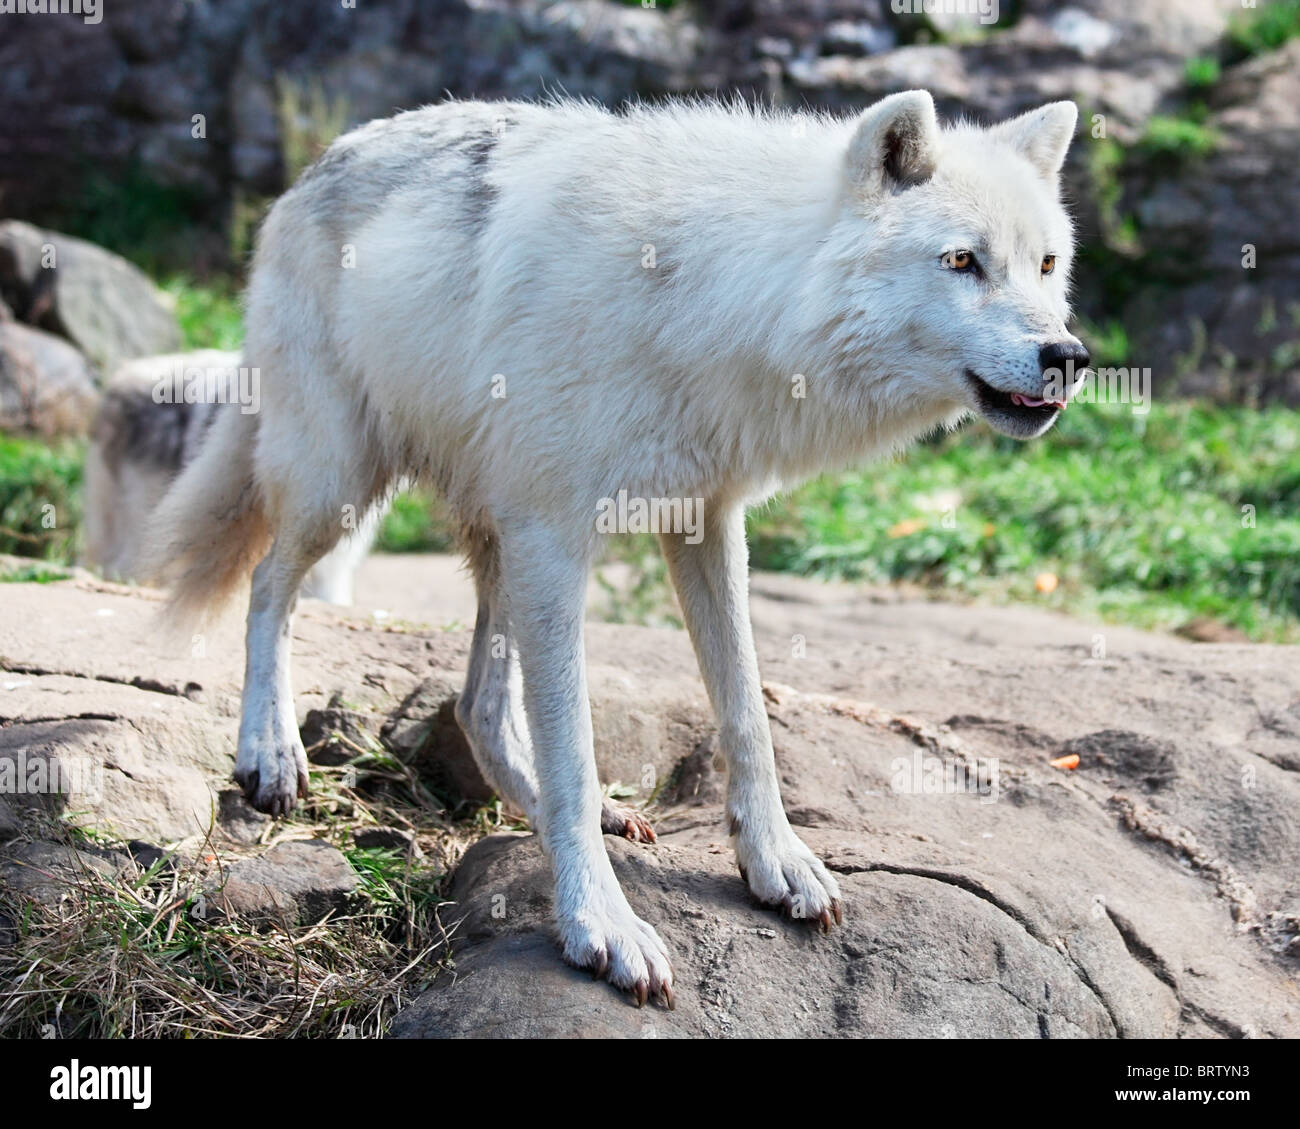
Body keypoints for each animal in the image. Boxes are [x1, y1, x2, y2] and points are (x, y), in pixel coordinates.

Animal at [141, 89, 1087, 1007]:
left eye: (1045, 265)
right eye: (961, 261)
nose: (1069, 355)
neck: (714, 291)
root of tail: (318, 164)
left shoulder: (705, 520)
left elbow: (745, 713)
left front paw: (774, 862)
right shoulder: (556, 536)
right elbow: (575, 742)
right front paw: (601, 925)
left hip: (494, 535)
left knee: (478, 707)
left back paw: (581, 808)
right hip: (343, 486)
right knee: (269, 583)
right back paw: (270, 752)